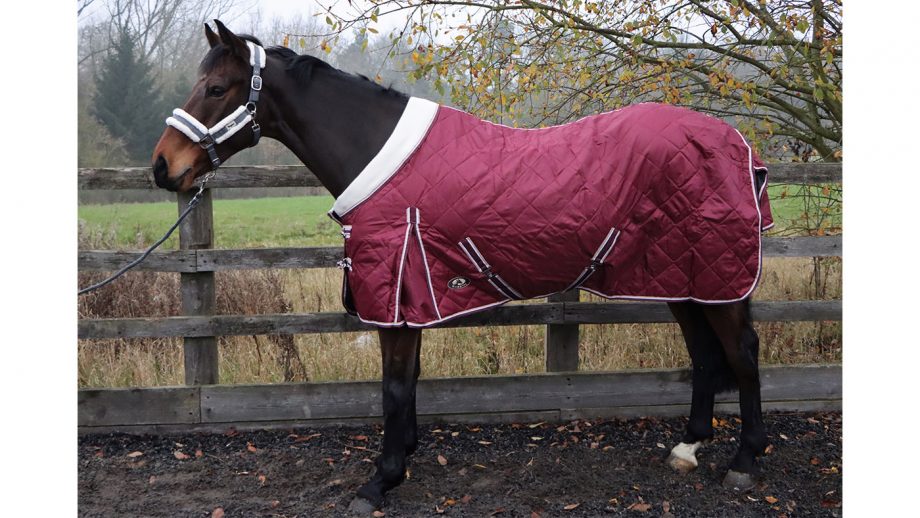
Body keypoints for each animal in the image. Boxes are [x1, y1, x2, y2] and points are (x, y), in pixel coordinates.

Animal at [152, 20, 772, 513]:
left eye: (215, 88)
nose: (162, 168)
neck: (374, 150)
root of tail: (738, 143)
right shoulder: (413, 295)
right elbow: (409, 382)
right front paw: (403, 458)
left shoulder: (395, 294)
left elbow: (393, 386)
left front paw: (380, 481)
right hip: (682, 277)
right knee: (704, 354)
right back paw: (688, 447)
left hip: (717, 277)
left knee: (741, 355)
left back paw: (745, 462)